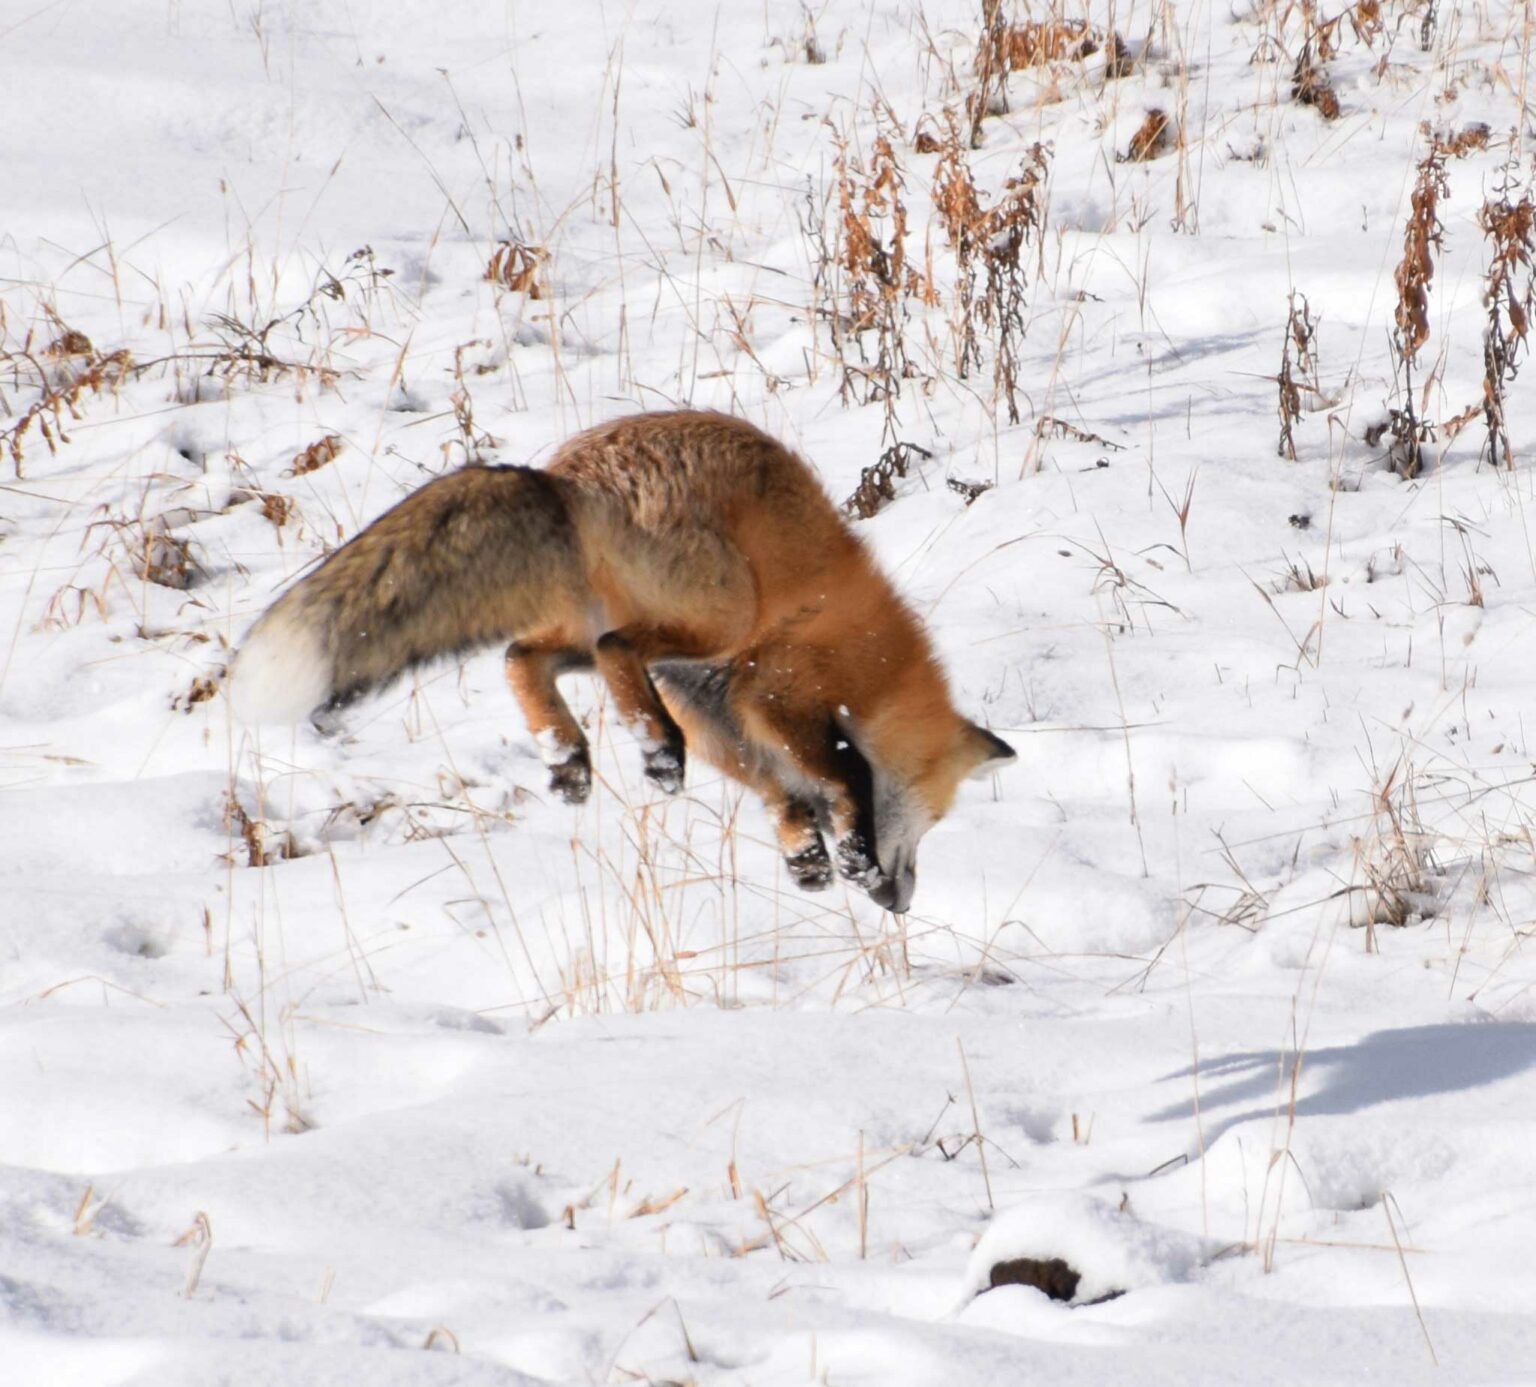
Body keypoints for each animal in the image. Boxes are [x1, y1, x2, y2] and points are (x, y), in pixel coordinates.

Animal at [228, 410, 1015, 913]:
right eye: (931, 822)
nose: (902, 903)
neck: (876, 667)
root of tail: (564, 478)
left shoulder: (718, 710)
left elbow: (780, 793)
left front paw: (808, 859)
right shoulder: (772, 694)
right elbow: (842, 775)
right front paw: (847, 853)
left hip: (593, 631)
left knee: (523, 657)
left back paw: (572, 753)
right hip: (720, 614)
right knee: (614, 650)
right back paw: (652, 747)